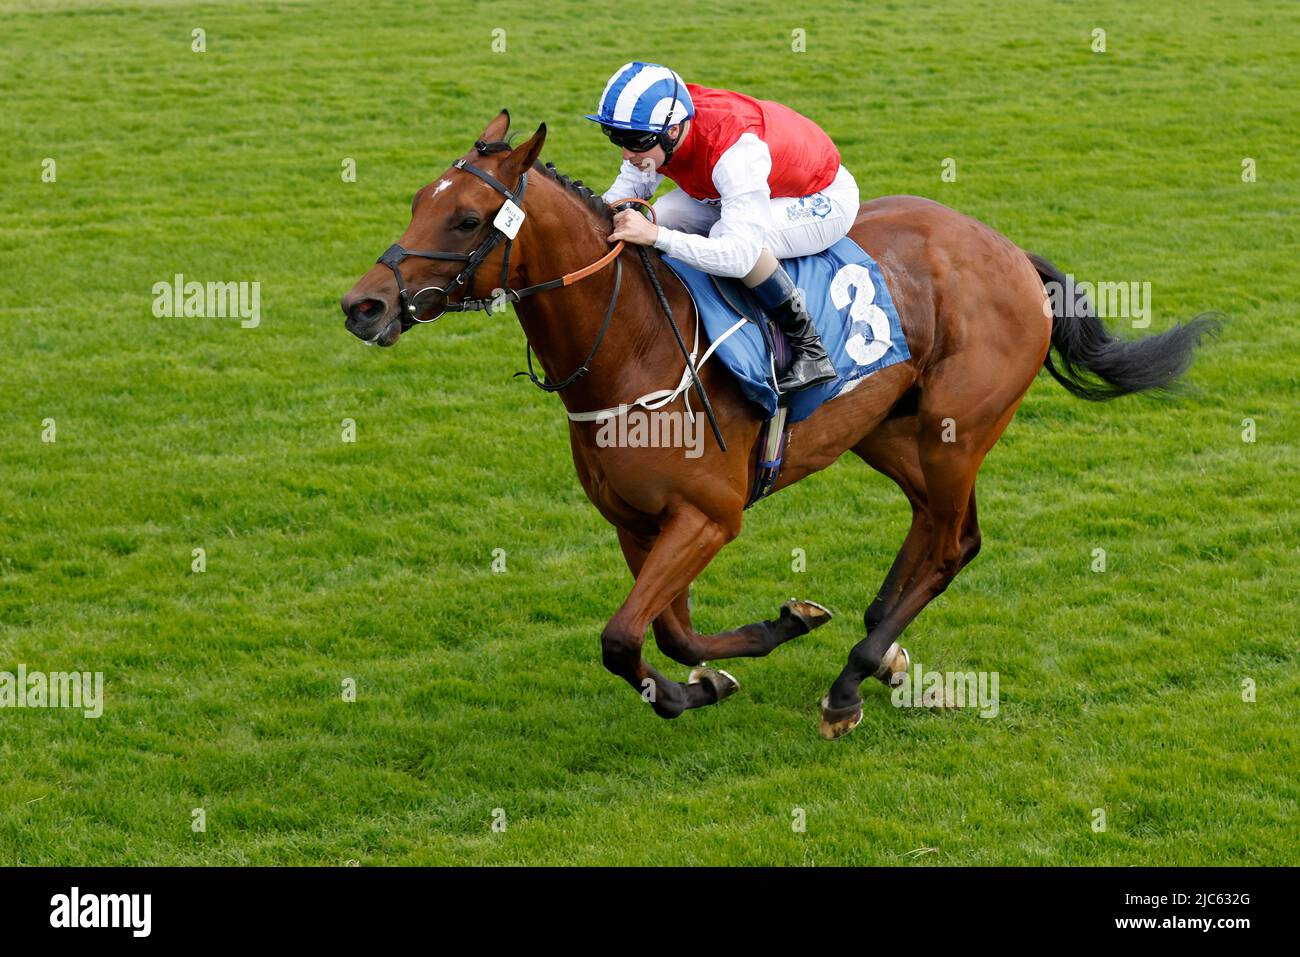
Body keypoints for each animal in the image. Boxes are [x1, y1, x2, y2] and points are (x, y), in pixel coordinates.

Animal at [340, 110, 1218, 739]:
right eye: (416, 203)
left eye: (466, 220)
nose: (363, 306)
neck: (630, 344)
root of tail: (1008, 253)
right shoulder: (636, 522)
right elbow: (668, 634)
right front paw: (731, 662)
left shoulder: (708, 515)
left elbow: (624, 636)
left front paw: (751, 650)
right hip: (886, 431)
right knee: (945, 534)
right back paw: (883, 649)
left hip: (956, 431)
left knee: (948, 545)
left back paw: (851, 679)